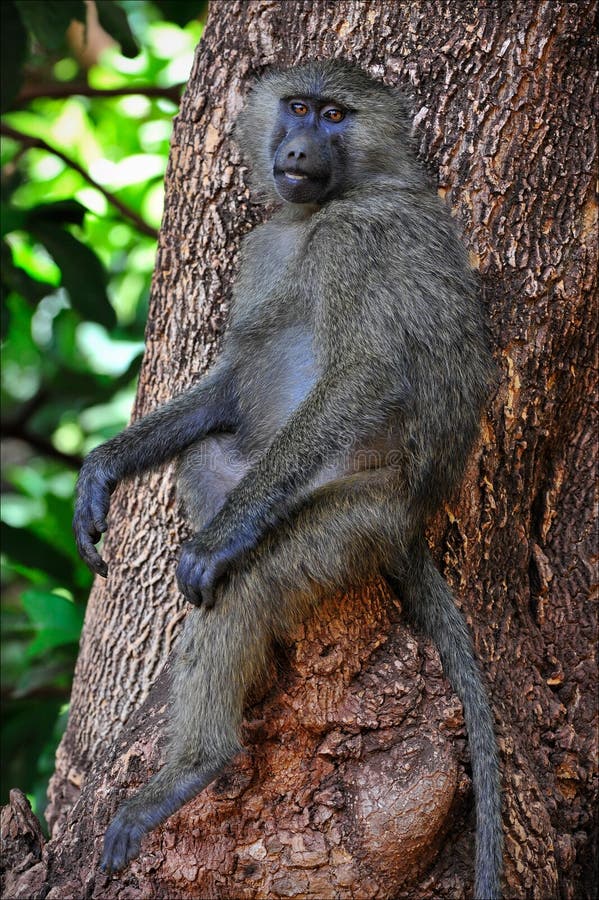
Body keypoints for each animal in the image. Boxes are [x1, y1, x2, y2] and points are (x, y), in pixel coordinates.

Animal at [73, 60, 503, 898]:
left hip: (353, 520)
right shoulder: (263, 243)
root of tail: (410, 522)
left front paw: (214, 548)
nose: (299, 149)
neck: (329, 205)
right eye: (297, 107)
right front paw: (101, 470)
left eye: (334, 116)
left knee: (246, 584)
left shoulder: (351, 241)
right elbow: (231, 382)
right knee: (209, 456)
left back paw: (197, 763)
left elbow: (364, 374)